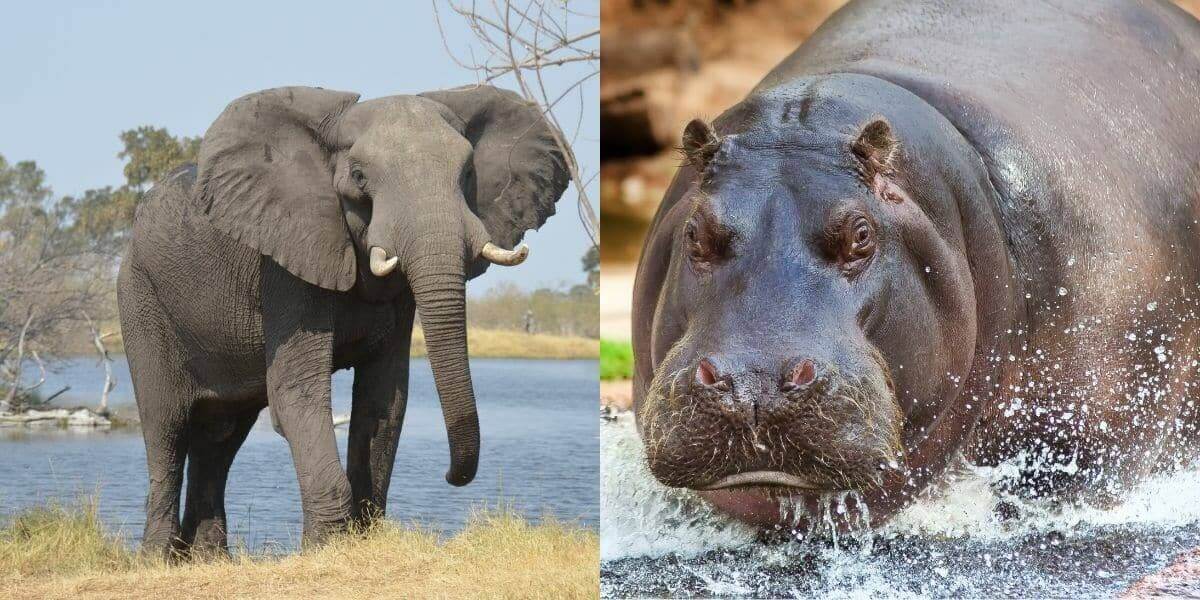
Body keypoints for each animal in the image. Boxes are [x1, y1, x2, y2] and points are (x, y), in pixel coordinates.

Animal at [116, 84, 569, 555]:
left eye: (466, 173)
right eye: (359, 176)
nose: (449, 476)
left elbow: (384, 396)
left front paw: (362, 538)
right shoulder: (287, 260)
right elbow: (297, 394)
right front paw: (325, 547)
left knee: (221, 435)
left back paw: (206, 559)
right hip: (139, 298)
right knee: (166, 427)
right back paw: (159, 558)